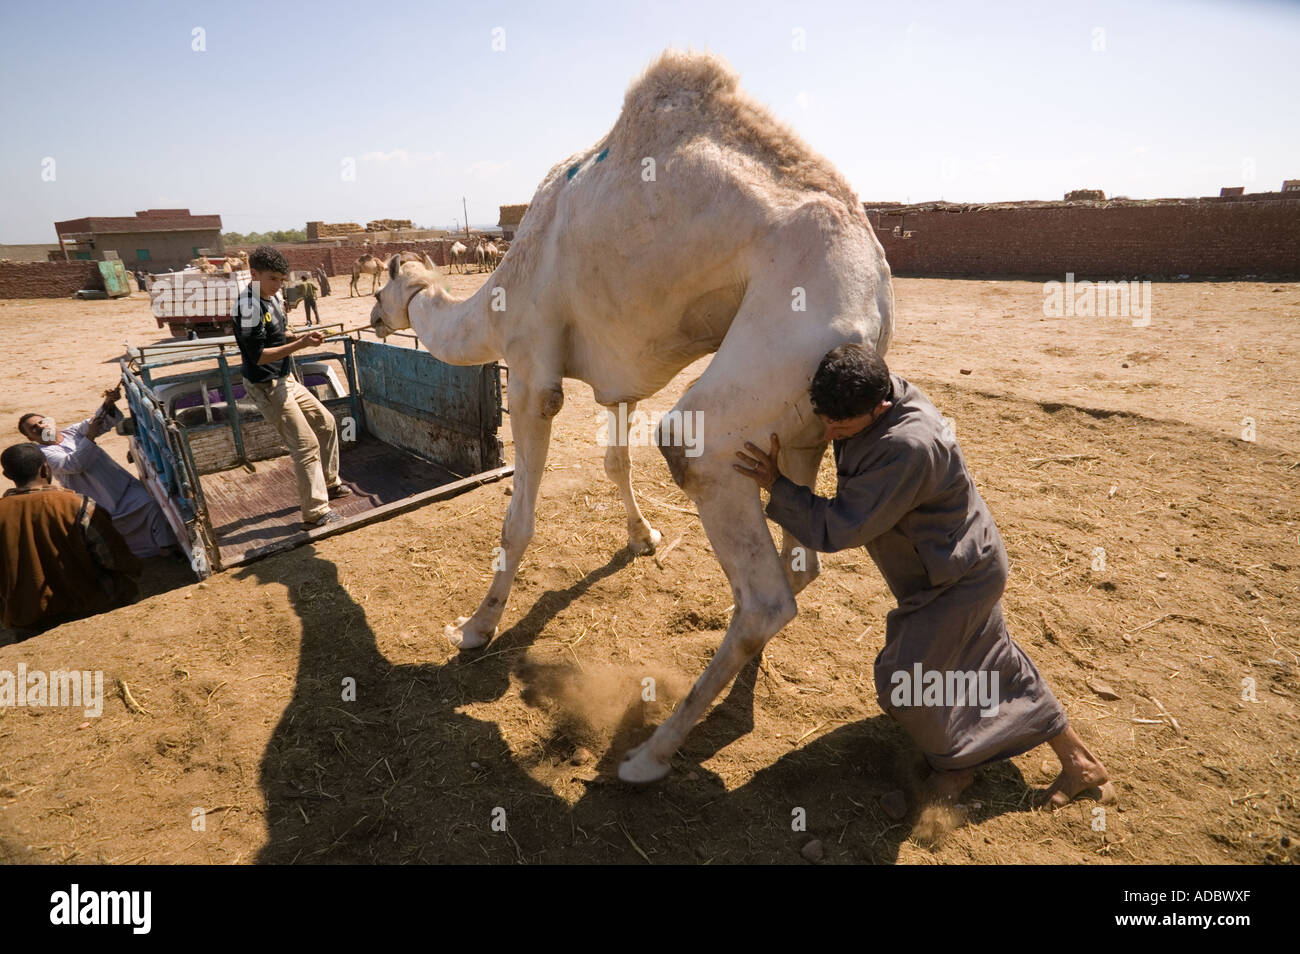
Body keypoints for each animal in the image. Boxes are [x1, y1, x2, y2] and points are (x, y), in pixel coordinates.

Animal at [370, 50, 893, 785]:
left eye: (382, 287)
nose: (371, 317)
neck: (497, 294)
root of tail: (874, 291)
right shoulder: (616, 386)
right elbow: (615, 460)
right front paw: (643, 538)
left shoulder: (531, 369)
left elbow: (517, 519)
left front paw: (475, 629)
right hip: (803, 423)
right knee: (802, 561)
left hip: (780, 346)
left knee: (752, 568)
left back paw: (651, 753)